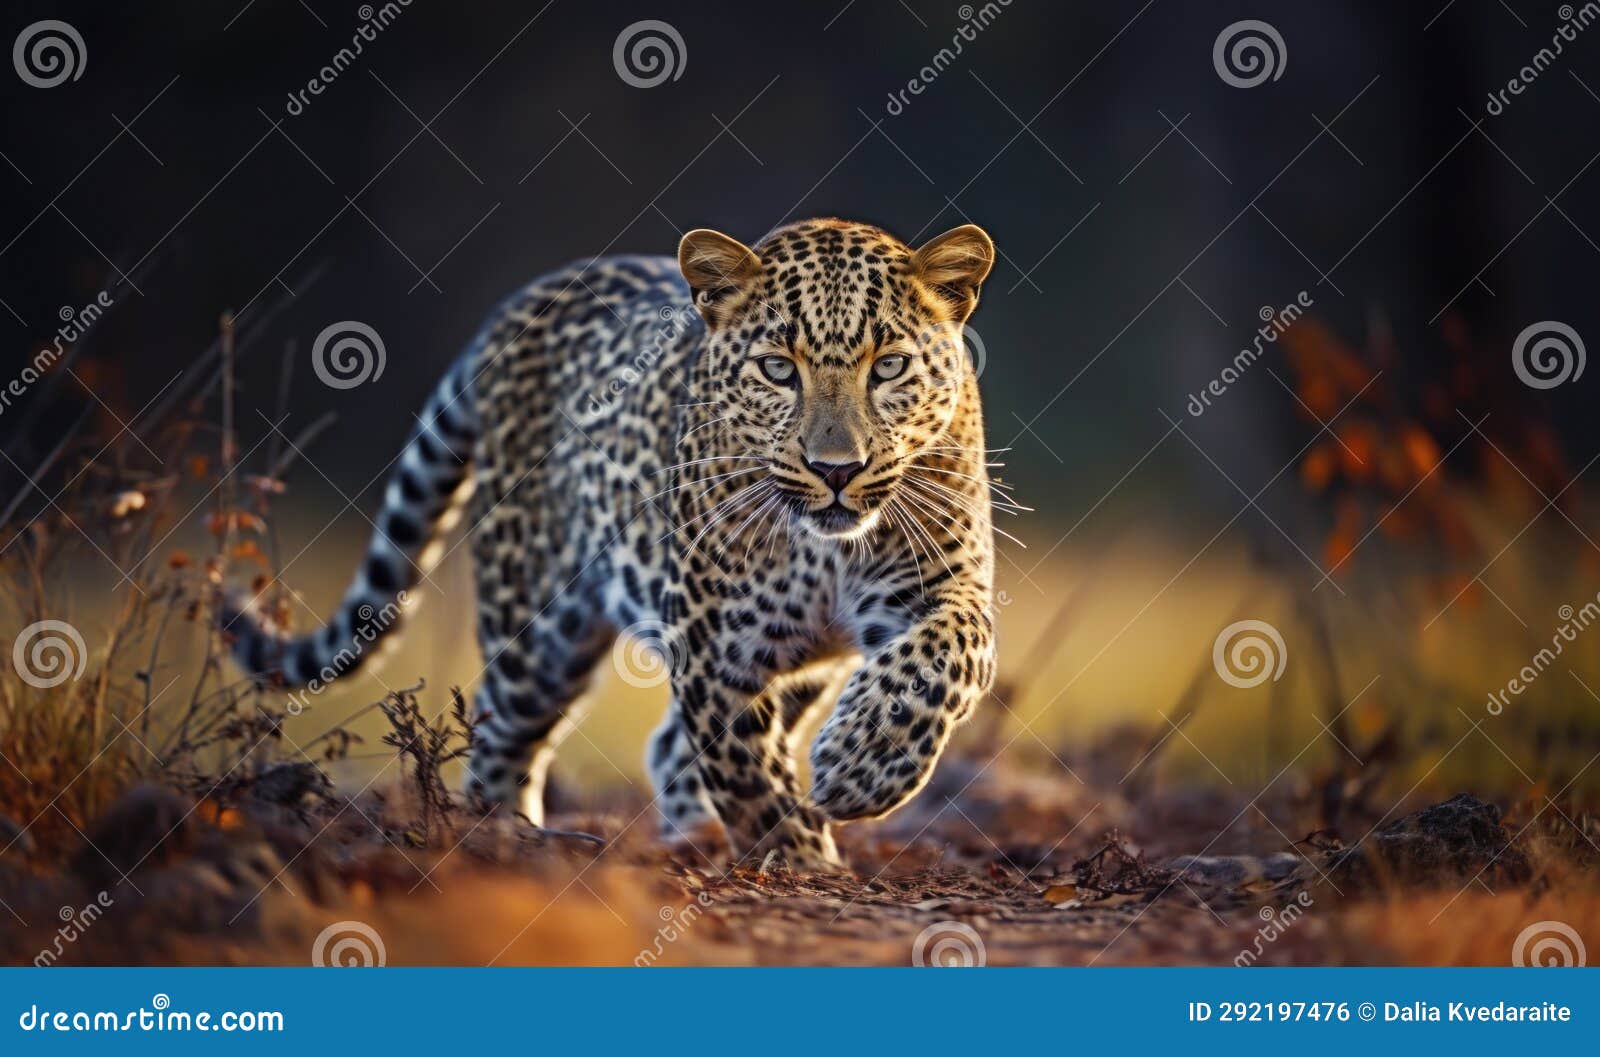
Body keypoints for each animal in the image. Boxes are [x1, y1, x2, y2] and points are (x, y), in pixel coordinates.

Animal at [224, 217, 1000, 870]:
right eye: (779, 369)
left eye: (890, 367)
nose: (836, 469)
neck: (828, 549)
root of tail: (528, 297)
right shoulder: (714, 643)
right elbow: (747, 770)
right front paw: (802, 853)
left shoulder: (946, 587)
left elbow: (945, 656)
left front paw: (861, 765)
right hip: (539, 623)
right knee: (503, 732)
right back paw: (504, 839)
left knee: (663, 746)